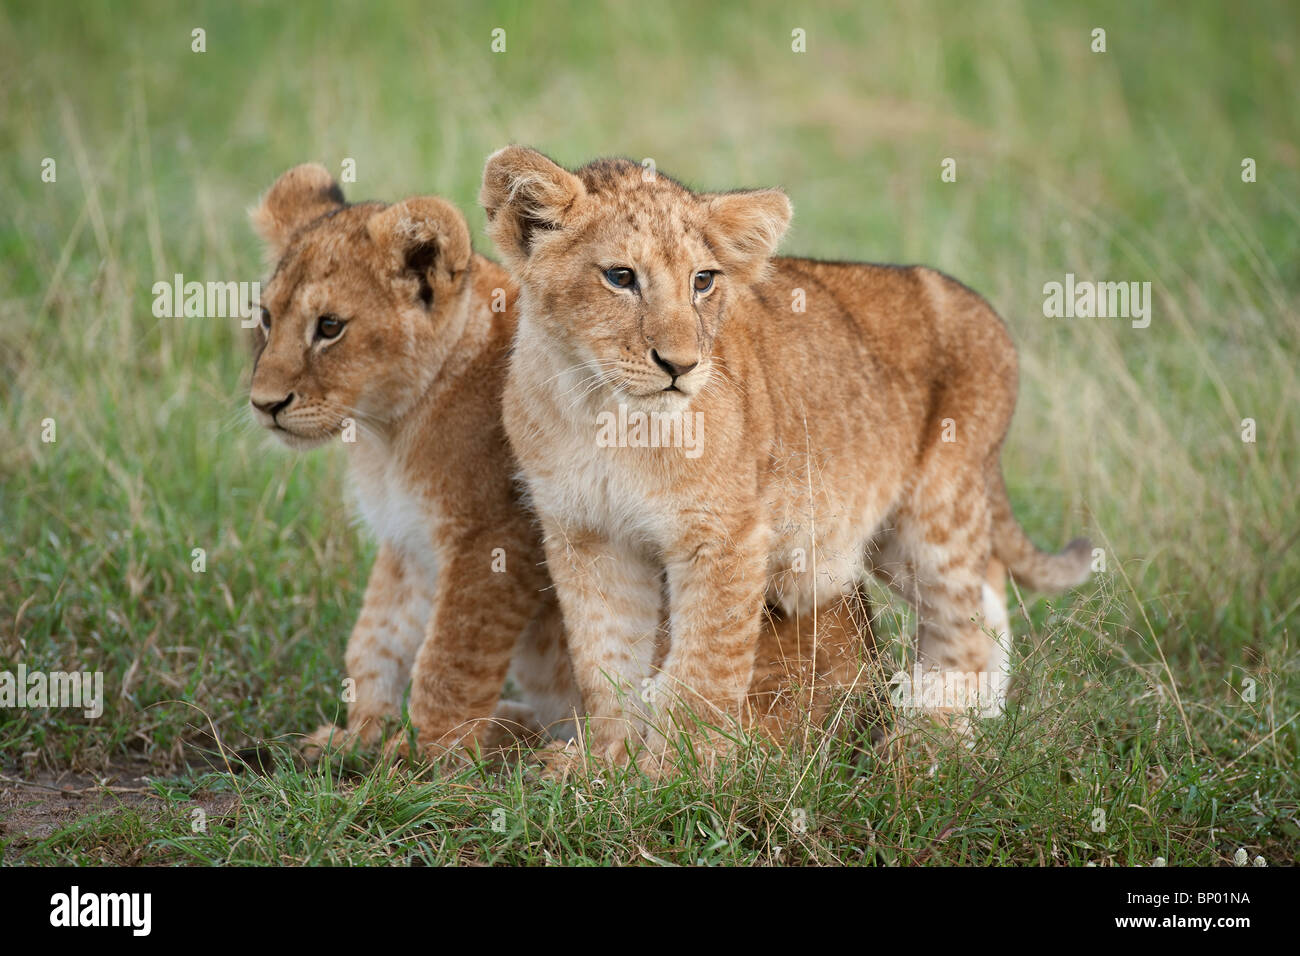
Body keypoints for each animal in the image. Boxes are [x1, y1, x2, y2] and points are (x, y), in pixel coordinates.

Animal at [480, 147, 1092, 773]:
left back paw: (935, 741)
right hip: (888, 539)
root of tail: (980, 307)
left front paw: (676, 772)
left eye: (703, 280)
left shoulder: (726, 536)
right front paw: (605, 763)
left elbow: (705, 666)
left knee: (963, 622)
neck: (603, 410)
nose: (681, 366)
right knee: (986, 590)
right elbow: (607, 662)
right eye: (620, 277)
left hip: (938, 510)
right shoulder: (586, 535)